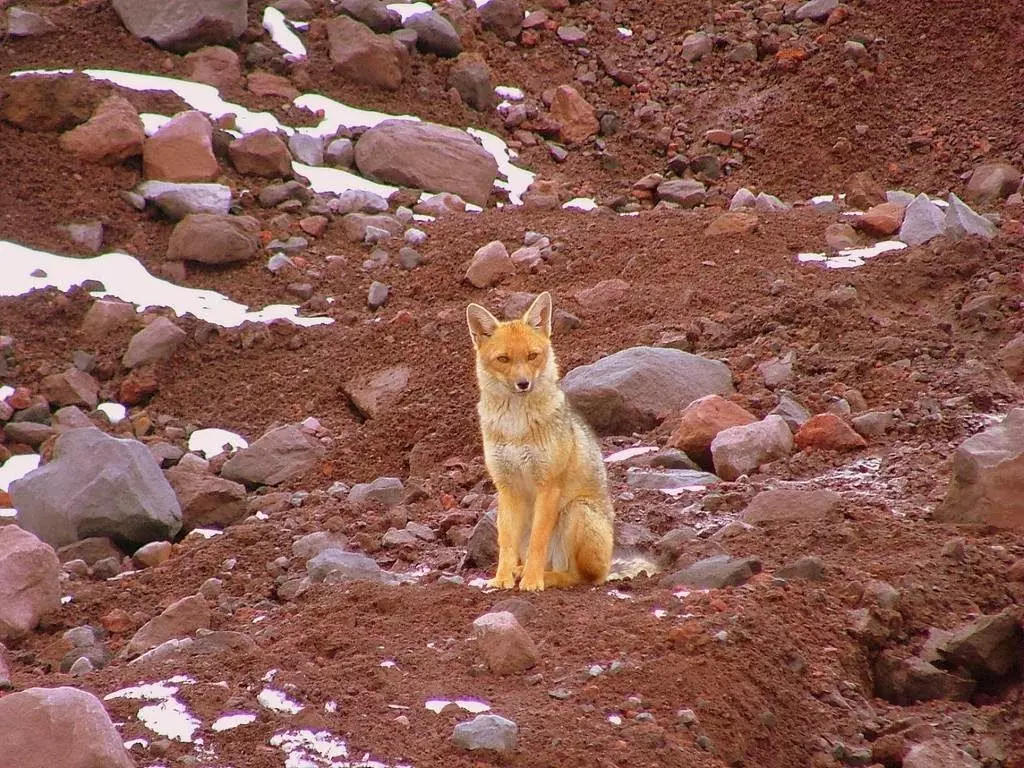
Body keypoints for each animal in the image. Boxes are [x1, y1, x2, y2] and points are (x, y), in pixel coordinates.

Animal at [466, 290, 614, 593]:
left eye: (532, 356)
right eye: (504, 359)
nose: (523, 384)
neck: (515, 427)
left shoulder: (548, 485)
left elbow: (538, 541)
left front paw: (533, 582)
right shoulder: (507, 487)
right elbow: (505, 544)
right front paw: (502, 579)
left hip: (575, 511)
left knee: (580, 576)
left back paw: (544, 577)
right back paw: (519, 572)